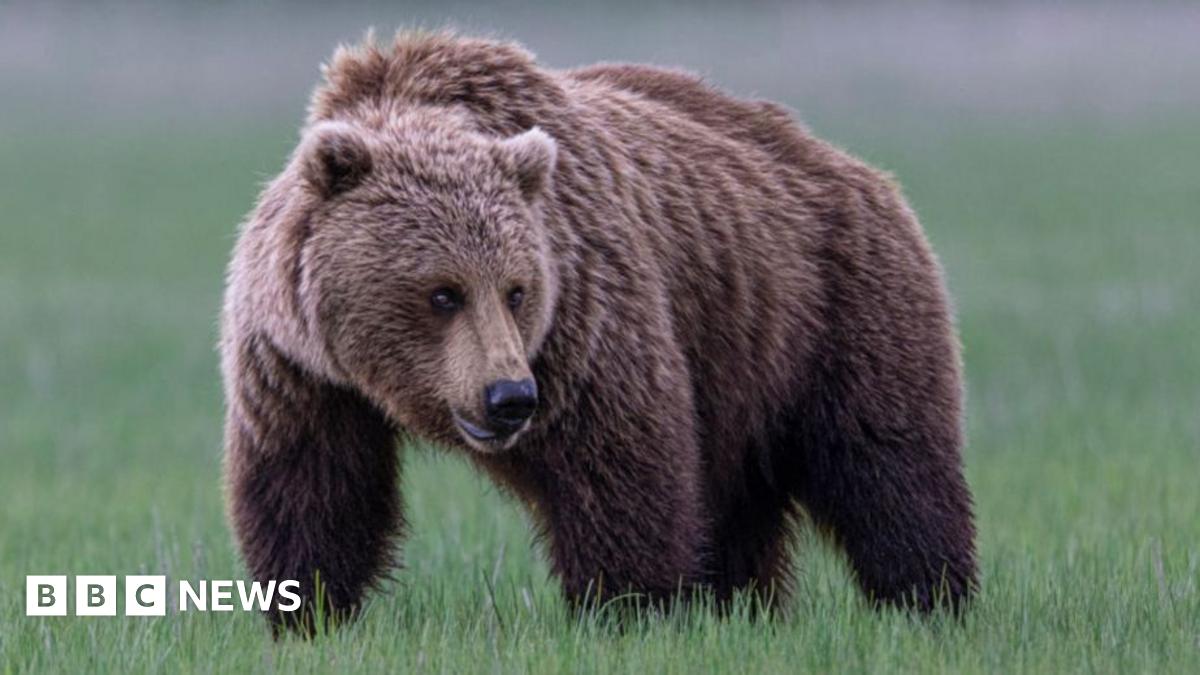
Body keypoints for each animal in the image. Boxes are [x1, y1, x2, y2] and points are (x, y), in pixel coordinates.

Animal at [220, 31, 977, 632]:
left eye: (516, 289)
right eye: (442, 292)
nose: (508, 397)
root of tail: (855, 168)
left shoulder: (584, 317)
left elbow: (619, 462)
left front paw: (627, 606)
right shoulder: (299, 367)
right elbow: (313, 485)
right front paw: (309, 610)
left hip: (833, 307)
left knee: (887, 463)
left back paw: (929, 597)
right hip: (740, 363)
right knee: (739, 500)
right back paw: (740, 603)